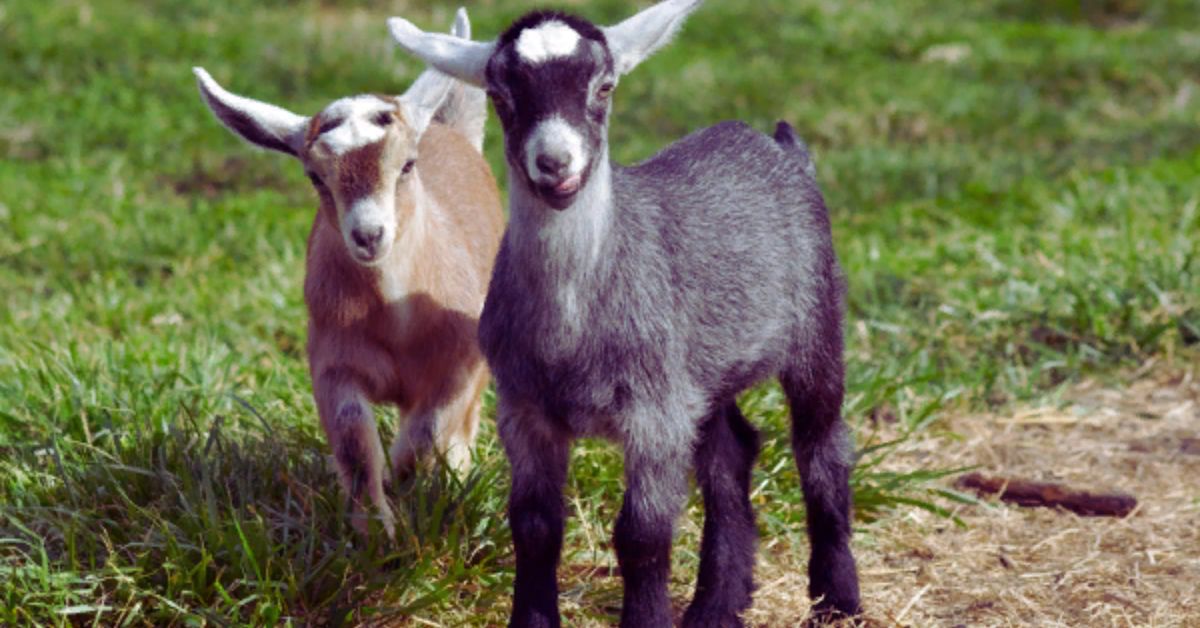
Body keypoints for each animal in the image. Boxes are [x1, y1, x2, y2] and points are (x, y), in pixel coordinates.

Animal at [193, 9, 503, 539]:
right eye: (316, 176)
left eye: (407, 165)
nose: (368, 235)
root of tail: (450, 127)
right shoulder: (332, 362)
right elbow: (356, 446)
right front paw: (376, 531)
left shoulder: (462, 360)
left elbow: (427, 435)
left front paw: (411, 486)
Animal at [389, 0, 861, 624]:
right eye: (501, 94)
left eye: (604, 87)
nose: (554, 163)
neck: (571, 331)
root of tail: (781, 148)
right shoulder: (525, 407)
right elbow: (534, 526)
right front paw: (533, 617)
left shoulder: (652, 413)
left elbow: (642, 534)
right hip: (702, 375)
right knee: (731, 454)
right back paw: (717, 605)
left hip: (816, 321)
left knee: (822, 448)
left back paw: (837, 599)